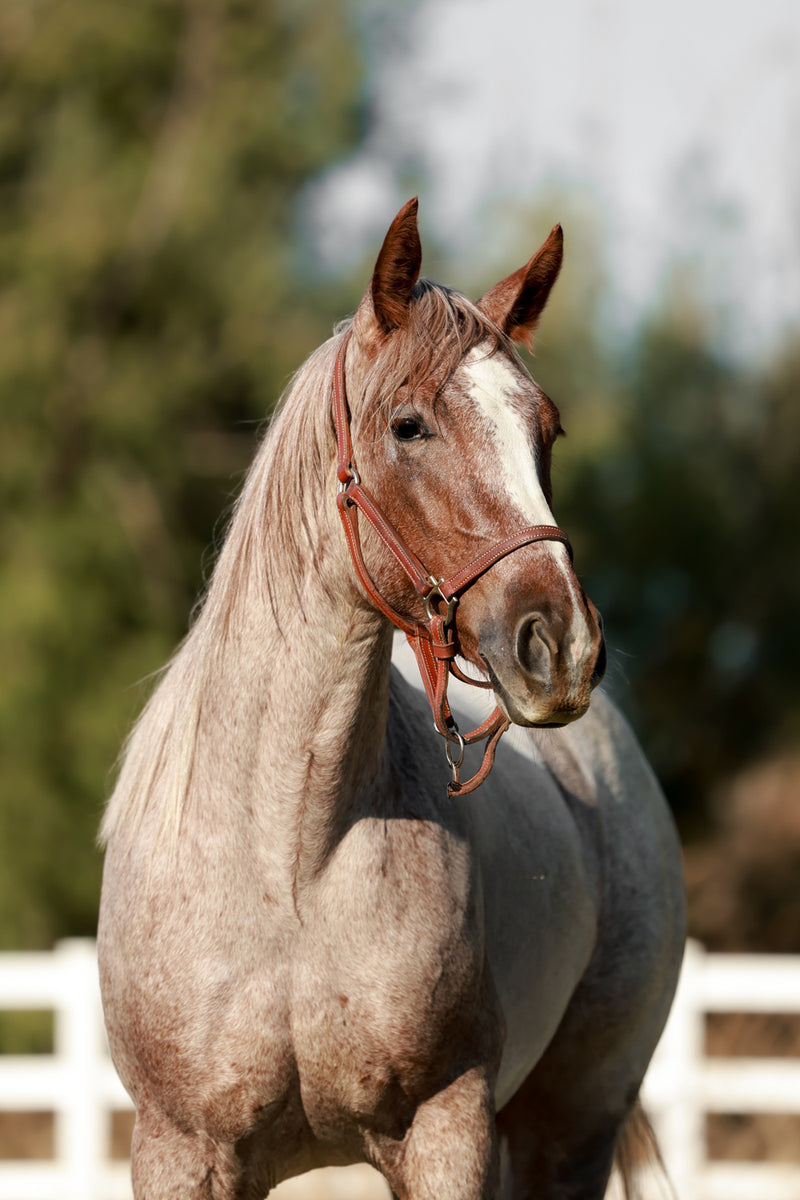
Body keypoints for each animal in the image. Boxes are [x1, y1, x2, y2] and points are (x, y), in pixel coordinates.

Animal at [98, 198, 685, 1200]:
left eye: (547, 432)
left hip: (569, 1126)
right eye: (409, 427)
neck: (288, 861)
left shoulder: (445, 1132)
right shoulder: (183, 1151)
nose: (560, 644)